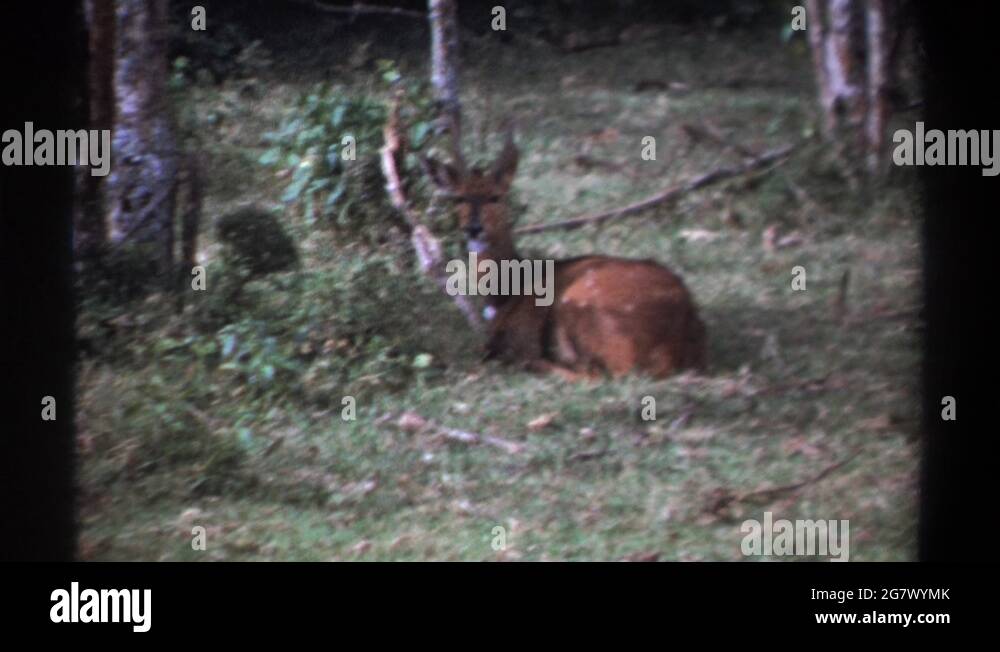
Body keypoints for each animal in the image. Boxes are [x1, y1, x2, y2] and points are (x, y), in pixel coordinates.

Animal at [420, 131, 707, 381]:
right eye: (459, 198)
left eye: (495, 197)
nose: (474, 228)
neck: (506, 294)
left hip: (580, 302)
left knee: (602, 373)